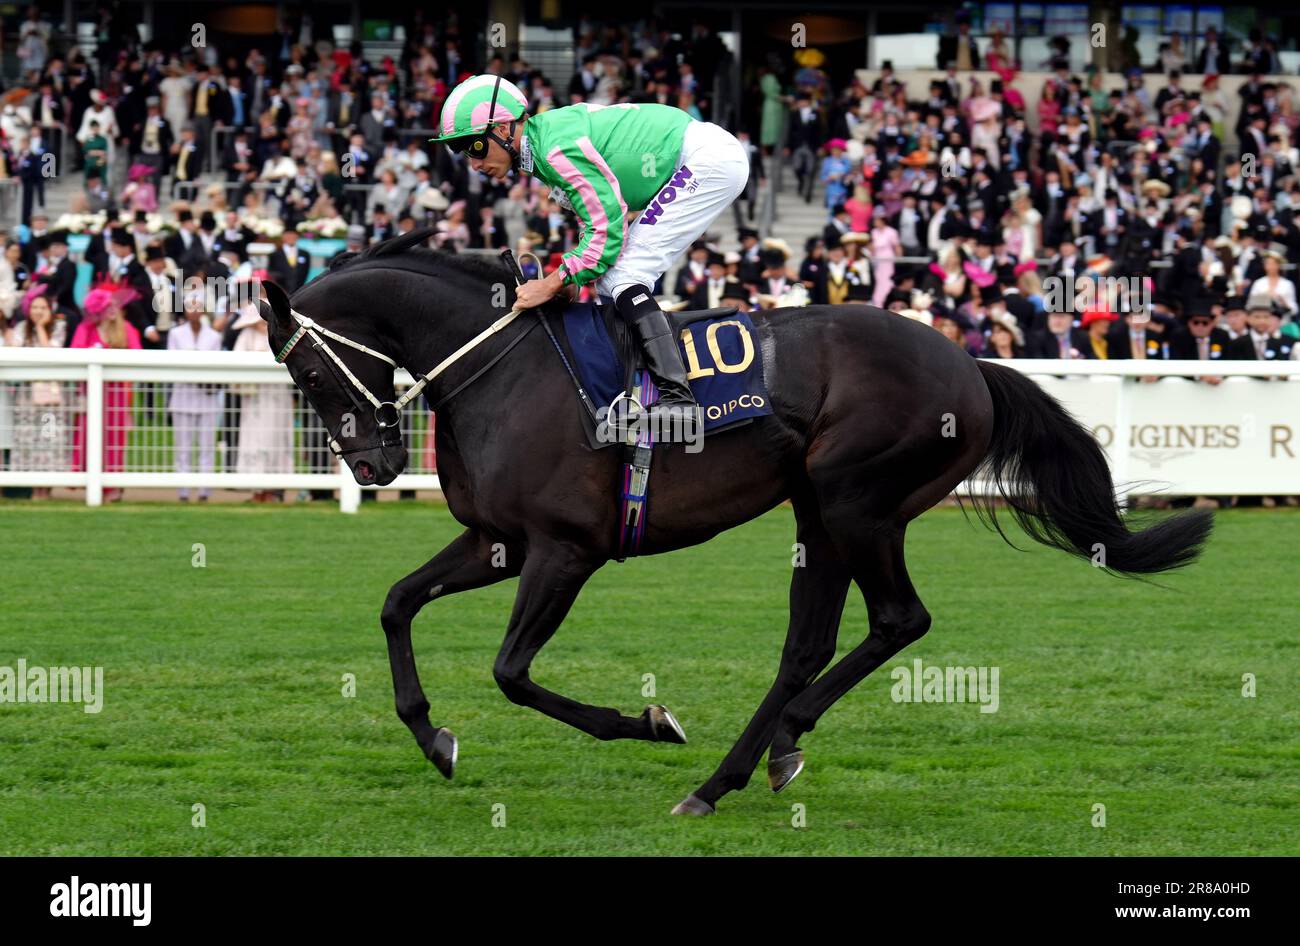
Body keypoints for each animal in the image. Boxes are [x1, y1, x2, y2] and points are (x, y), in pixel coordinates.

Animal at [258, 228, 1212, 815]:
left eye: (308, 371)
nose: (372, 465)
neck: (501, 367)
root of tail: (970, 364)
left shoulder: (565, 550)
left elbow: (512, 672)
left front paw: (649, 721)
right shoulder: (499, 541)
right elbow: (396, 603)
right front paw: (433, 738)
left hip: (856, 501)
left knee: (898, 619)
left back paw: (758, 752)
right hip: (819, 512)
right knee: (809, 645)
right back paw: (741, 770)